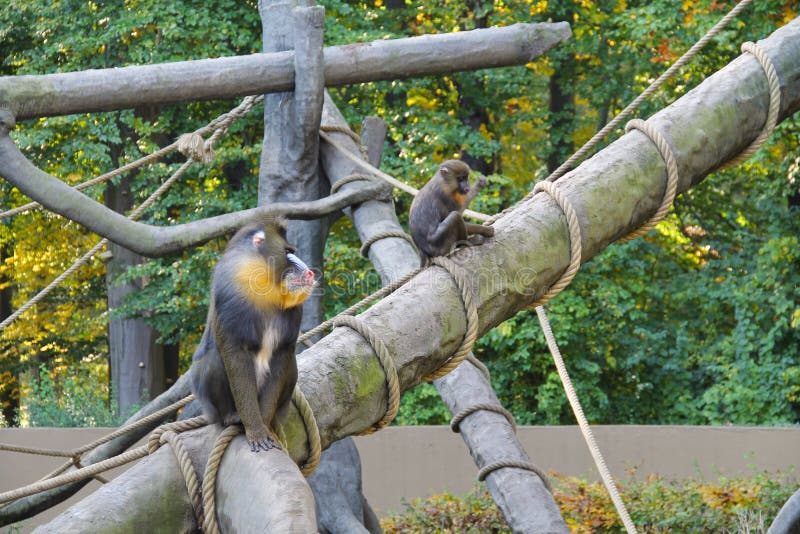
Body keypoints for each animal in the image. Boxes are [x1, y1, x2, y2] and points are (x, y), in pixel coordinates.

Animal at [191, 217, 316, 452]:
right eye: (287, 252)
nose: (310, 273)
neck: (264, 288)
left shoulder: (290, 326)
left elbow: (281, 357)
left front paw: (263, 426)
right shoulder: (230, 299)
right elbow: (234, 356)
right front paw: (256, 430)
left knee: (291, 367)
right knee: (213, 361)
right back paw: (232, 417)